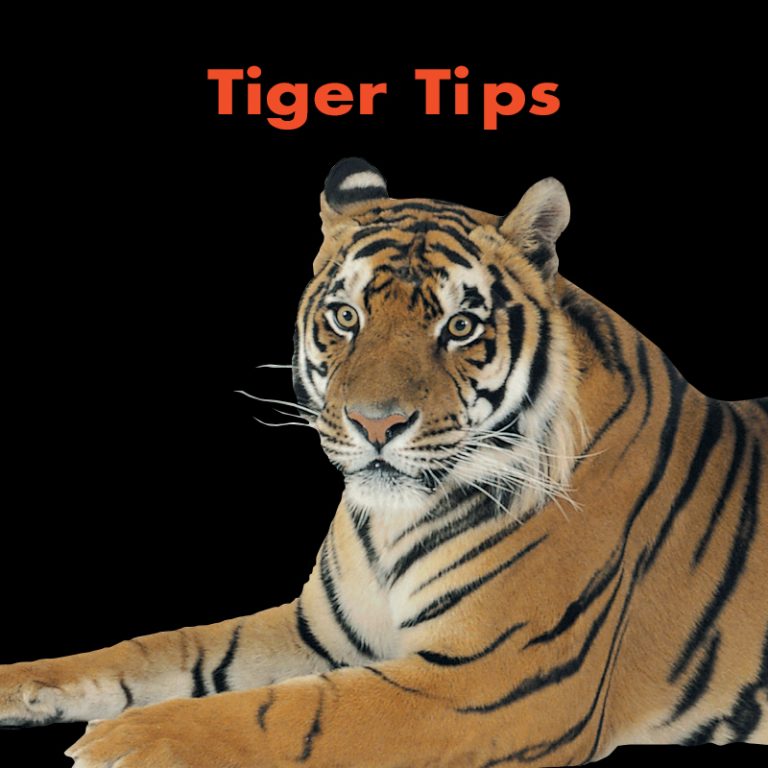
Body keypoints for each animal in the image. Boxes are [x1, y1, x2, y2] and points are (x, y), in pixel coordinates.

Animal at [1, 157, 766, 768]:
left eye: (460, 327)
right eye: (346, 317)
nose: (376, 423)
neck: (392, 522)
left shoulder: (495, 683)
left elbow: (289, 712)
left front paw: (130, 739)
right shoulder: (322, 630)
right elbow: (171, 649)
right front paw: (19, 683)